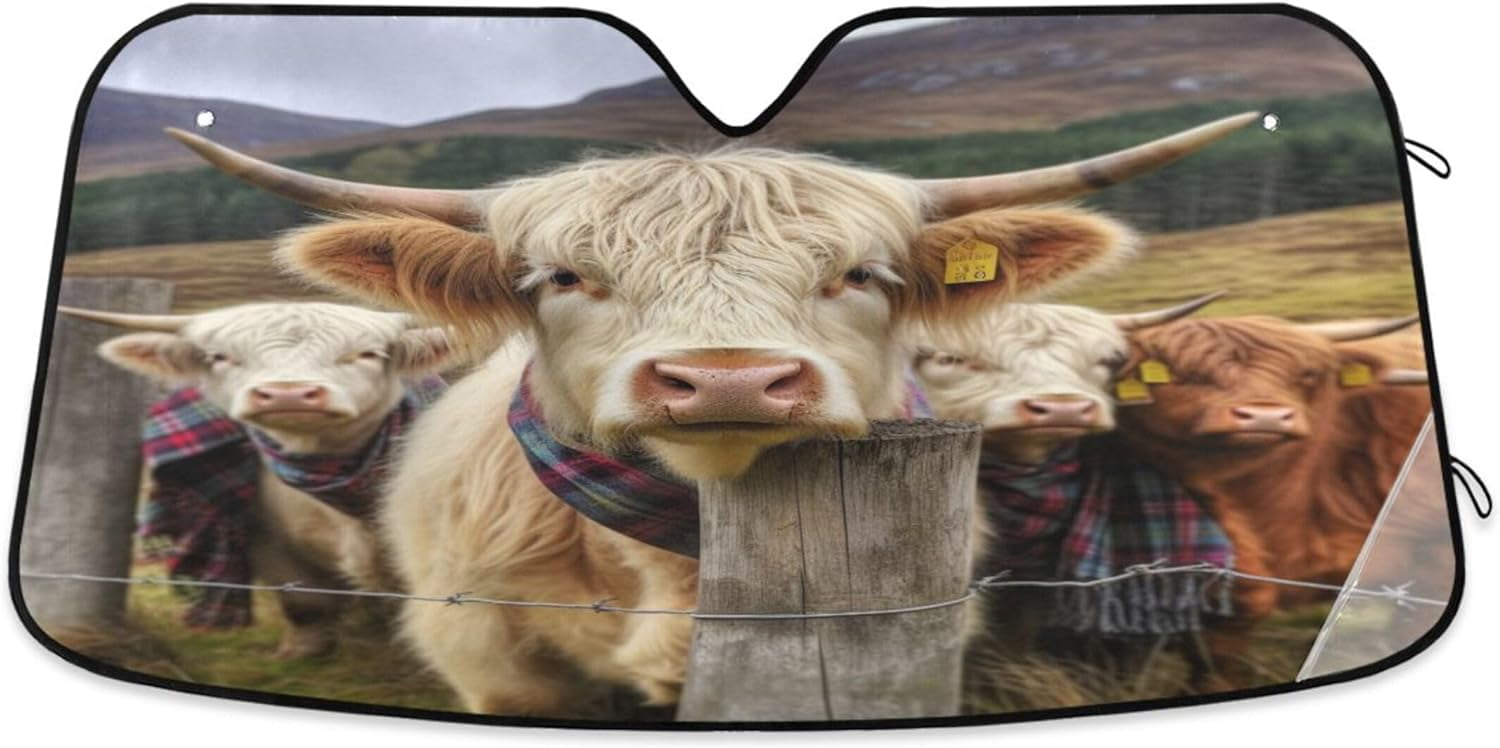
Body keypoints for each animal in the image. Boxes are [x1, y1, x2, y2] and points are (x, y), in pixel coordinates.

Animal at [59, 302, 456, 657]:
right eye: (220, 357)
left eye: (366, 354)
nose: (287, 394)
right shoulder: (267, 537)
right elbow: (305, 602)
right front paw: (300, 652)